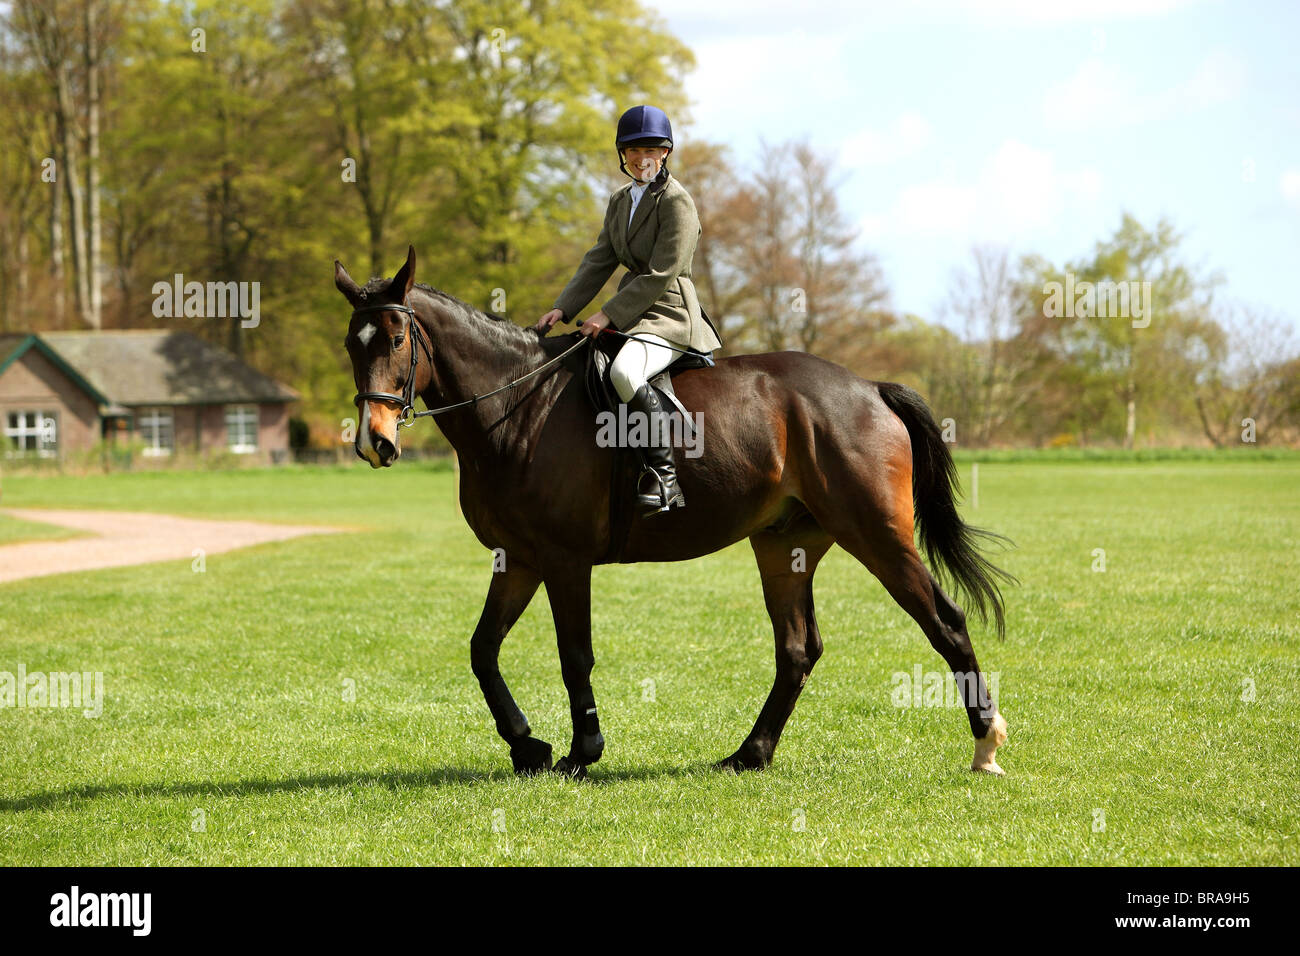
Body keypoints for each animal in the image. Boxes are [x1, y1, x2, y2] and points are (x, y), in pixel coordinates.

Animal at [336, 246, 1014, 778]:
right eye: (350, 343)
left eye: (396, 339)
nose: (375, 443)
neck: (517, 404)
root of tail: (868, 388)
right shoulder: (519, 559)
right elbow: (483, 650)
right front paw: (529, 746)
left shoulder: (563, 560)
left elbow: (573, 655)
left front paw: (582, 751)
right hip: (784, 545)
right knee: (798, 649)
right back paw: (750, 754)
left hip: (877, 533)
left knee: (946, 622)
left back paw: (985, 745)